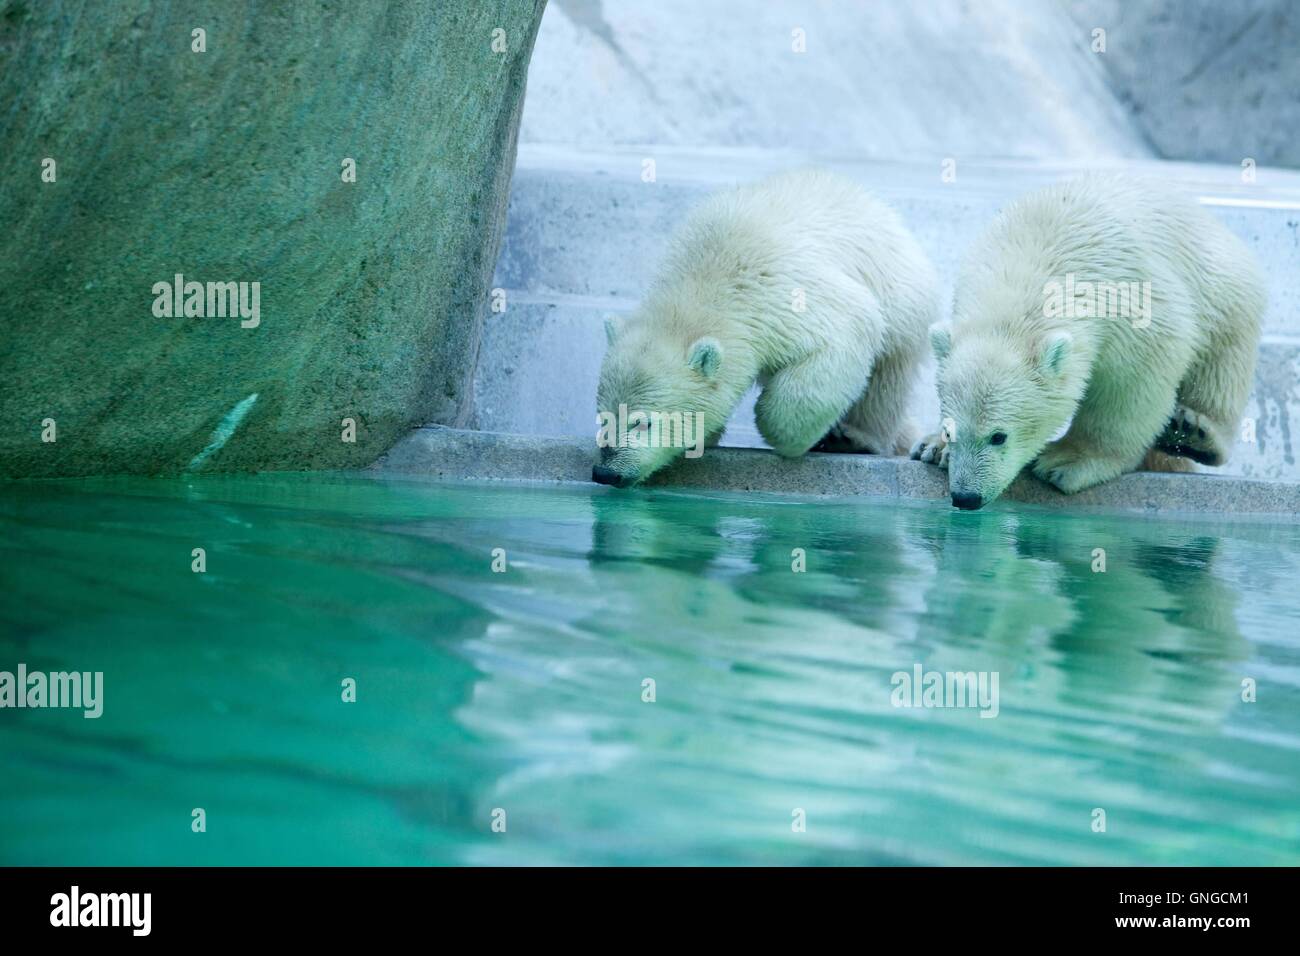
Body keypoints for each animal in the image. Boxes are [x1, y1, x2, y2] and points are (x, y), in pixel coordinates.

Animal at [592, 168, 939, 487]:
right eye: (602, 416)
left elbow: (845, 333)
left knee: (886, 378)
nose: (606, 473)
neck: (705, 271)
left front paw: (784, 433)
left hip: (900, 299)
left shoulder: (783, 295)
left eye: (643, 423)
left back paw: (854, 437)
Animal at [910, 174, 1265, 509]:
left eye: (999, 436)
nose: (965, 497)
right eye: (950, 430)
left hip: (1222, 291)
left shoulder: (1132, 305)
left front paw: (1067, 460)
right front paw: (934, 447)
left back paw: (1193, 431)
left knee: (1222, 368)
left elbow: (1131, 384)